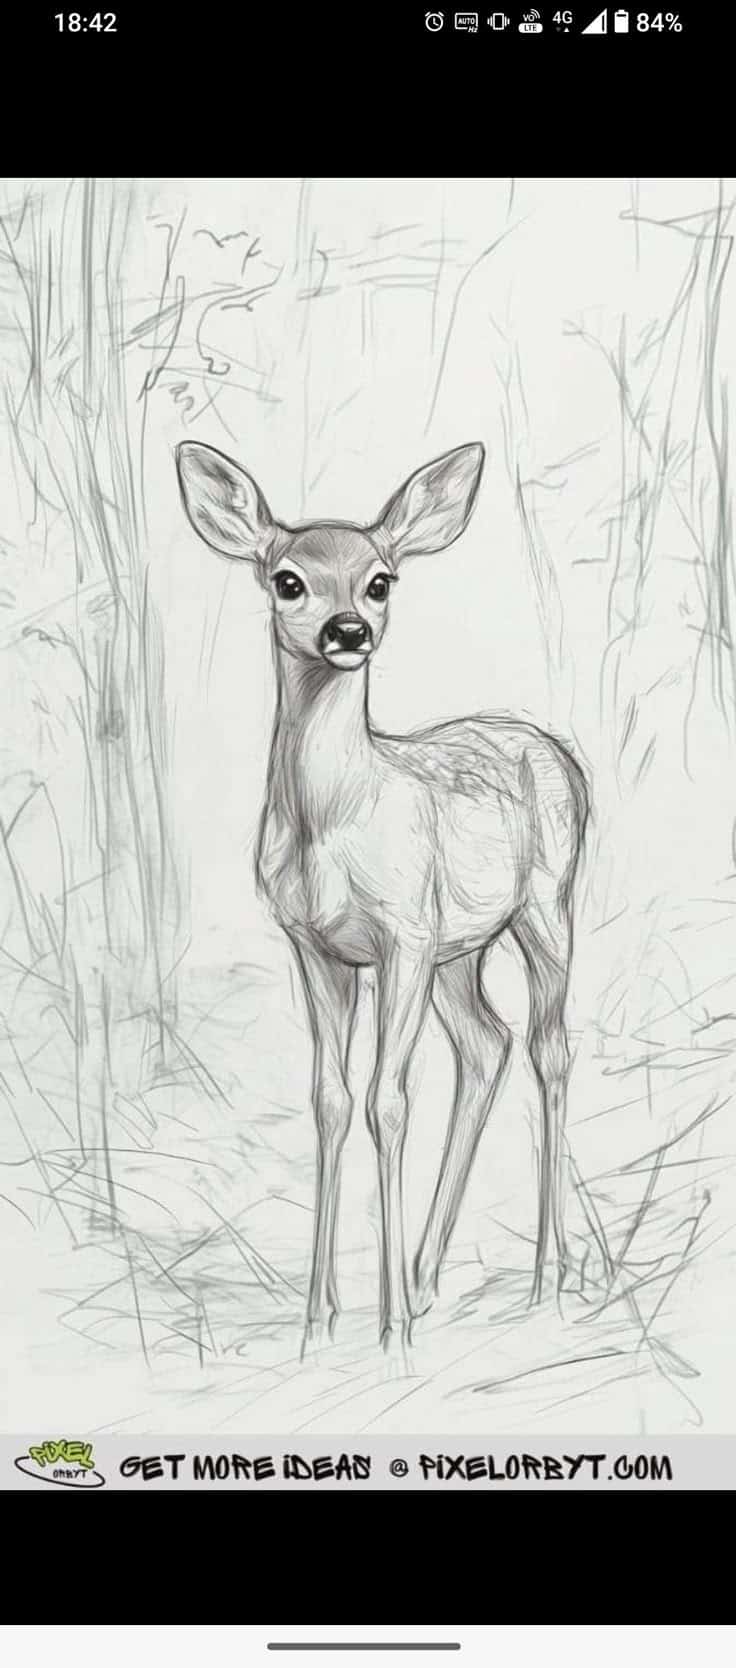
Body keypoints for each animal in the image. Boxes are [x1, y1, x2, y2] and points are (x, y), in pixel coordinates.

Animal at [176, 439, 589, 1356]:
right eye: (288, 579)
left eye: (380, 580)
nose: (348, 633)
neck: (335, 822)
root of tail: (554, 749)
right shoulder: (319, 947)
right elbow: (331, 1100)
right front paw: (319, 1321)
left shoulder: (401, 936)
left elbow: (388, 1102)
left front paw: (390, 1332)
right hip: (461, 949)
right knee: (488, 1044)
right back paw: (430, 1279)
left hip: (544, 907)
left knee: (550, 1048)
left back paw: (546, 1282)